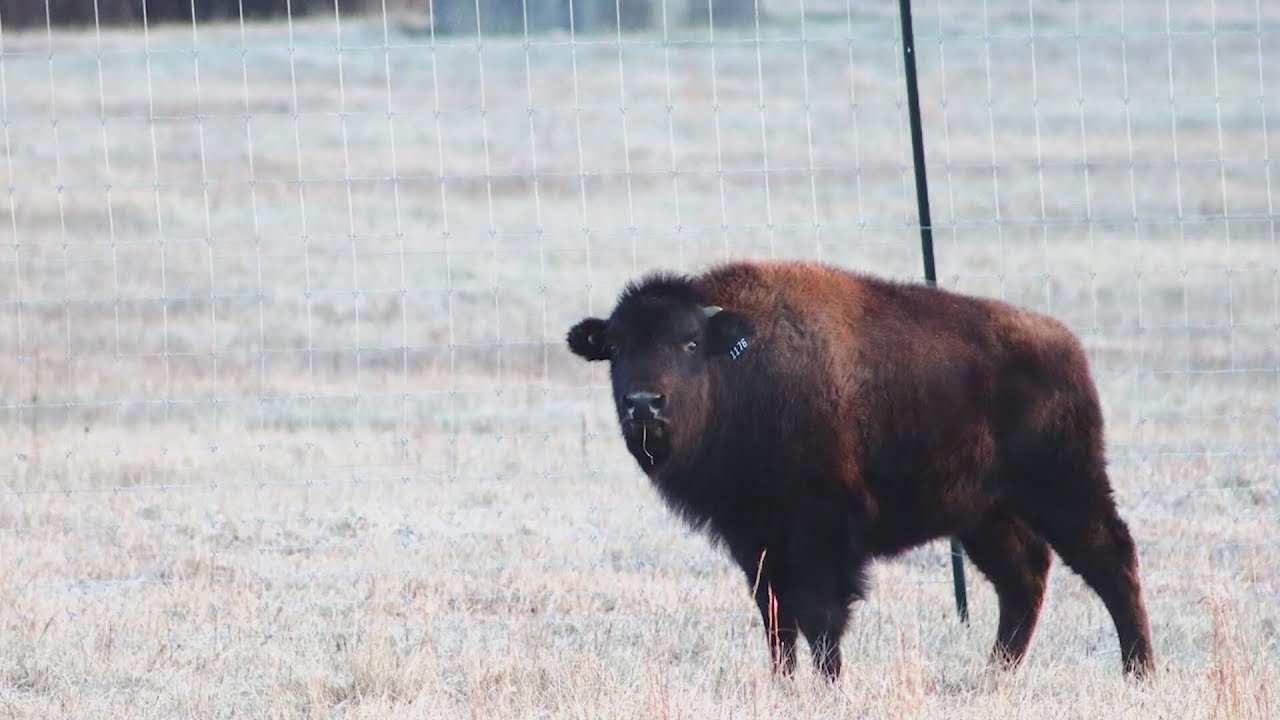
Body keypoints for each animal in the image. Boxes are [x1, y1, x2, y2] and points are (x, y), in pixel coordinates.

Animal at [566, 259, 1154, 680]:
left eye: (689, 342)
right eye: (615, 345)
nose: (644, 404)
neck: (739, 366)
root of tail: (1066, 346)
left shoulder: (821, 531)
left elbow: (820, 615)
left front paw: (829, 684)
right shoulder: (753, 537)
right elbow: (775, 616)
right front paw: (784, 685)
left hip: (1065, 489)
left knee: (1110, 560)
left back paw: (1138, 672)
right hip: (985, 515)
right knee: (1024, 576)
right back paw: (995, 676)